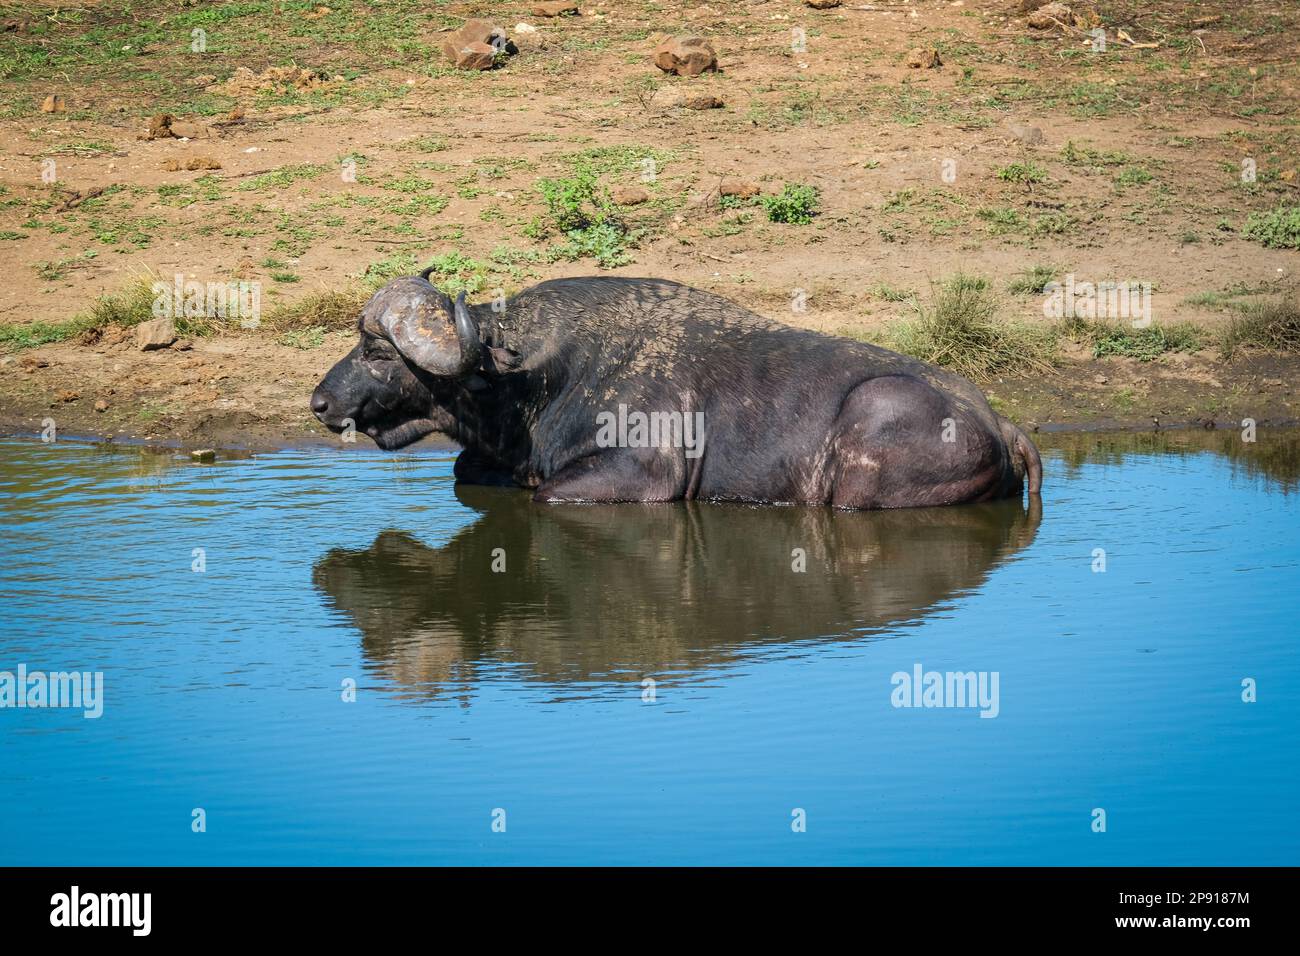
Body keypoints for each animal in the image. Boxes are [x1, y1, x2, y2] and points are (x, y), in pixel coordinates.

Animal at [310, 272, 1042, 509]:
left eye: (377, 351)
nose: (319, 402)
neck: (537, 380)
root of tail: (1001, 423)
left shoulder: (639, 479)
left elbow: (542, 494)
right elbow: (467, 469)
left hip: (872, 424)